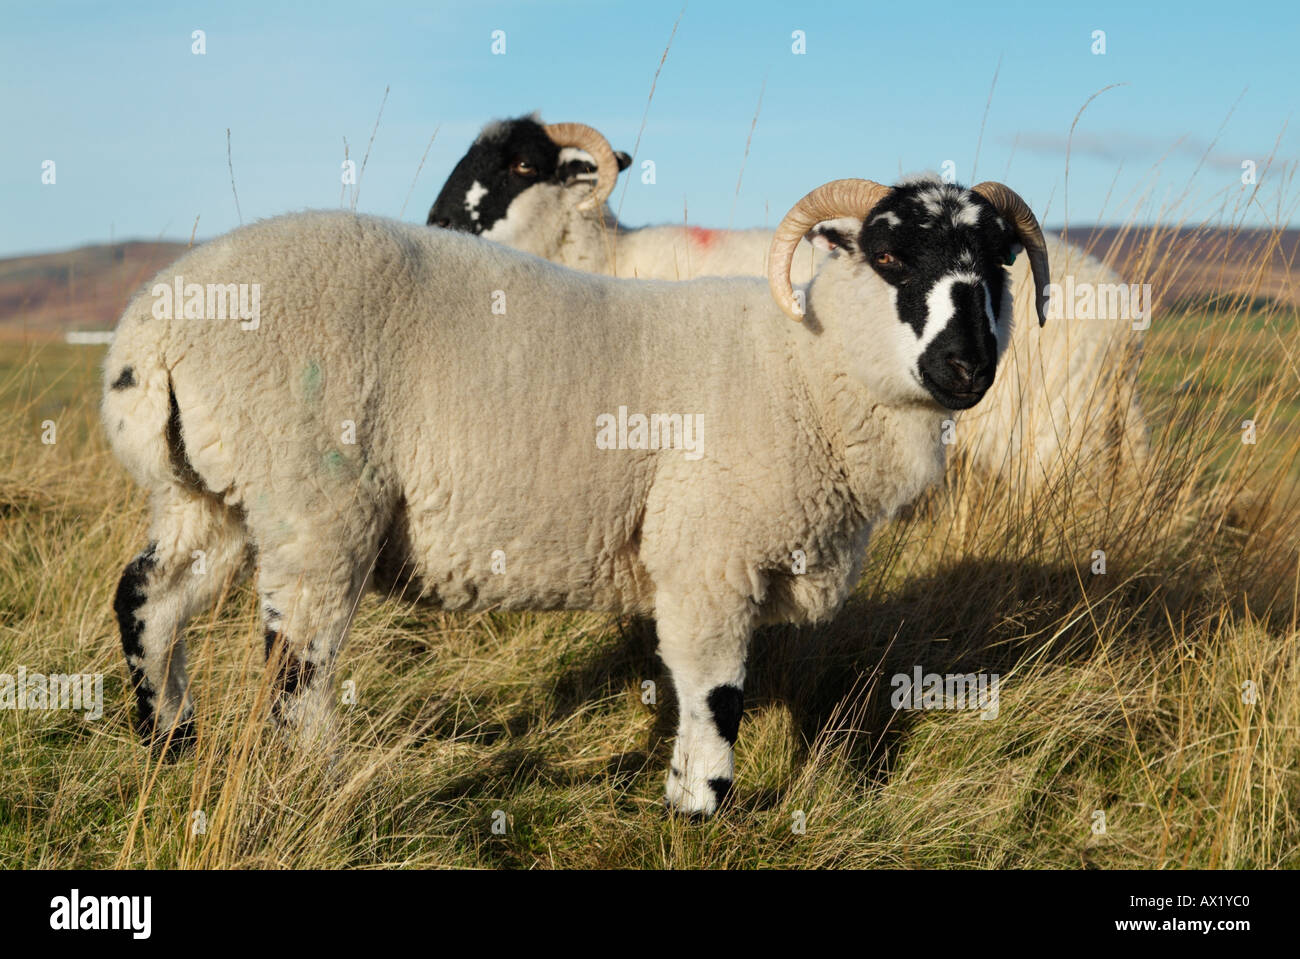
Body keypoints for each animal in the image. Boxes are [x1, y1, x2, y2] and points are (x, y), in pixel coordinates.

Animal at [104, 175, 1051, 817]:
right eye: (889, 254)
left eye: (998, 260)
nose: (968, 366)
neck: (808, 368)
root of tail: (153, 327)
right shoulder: (708, 554)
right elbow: (716, 691)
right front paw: (698, 808)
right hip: (317, 502)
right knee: (297, 667)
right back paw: (321, 784)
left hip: (213, 493)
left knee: (149, 596)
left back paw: (169, 742)